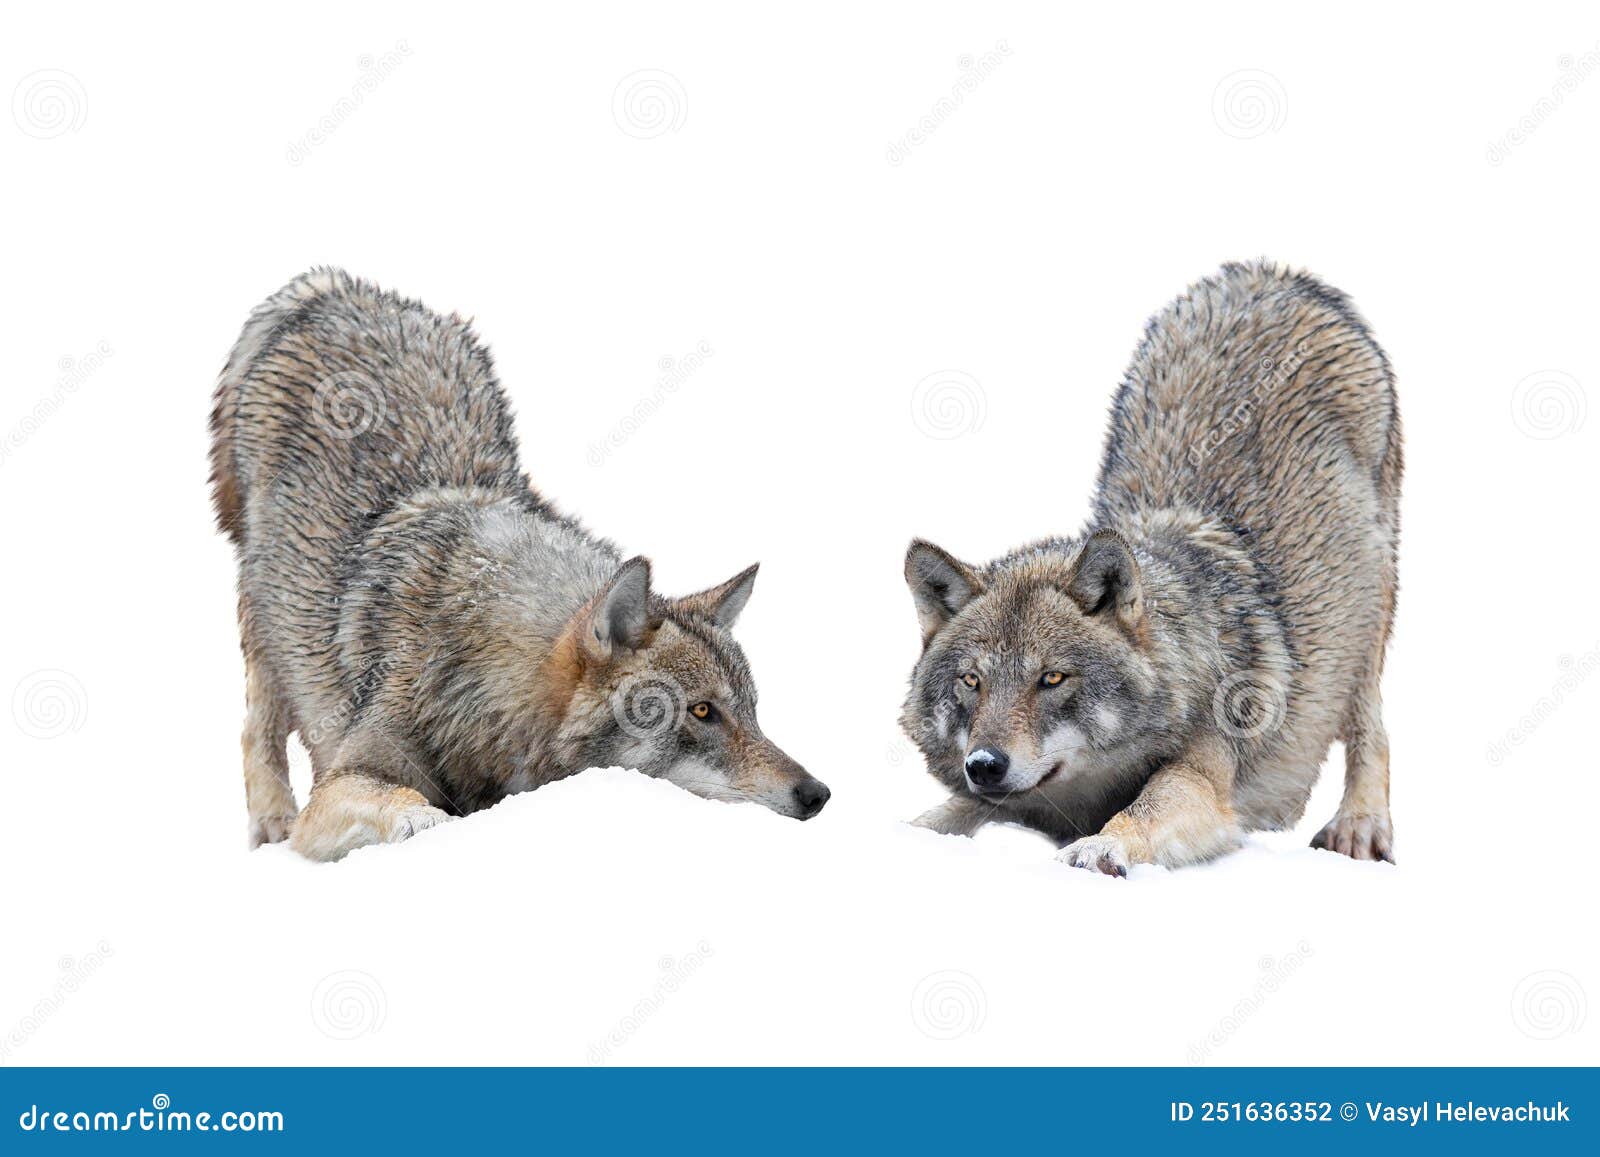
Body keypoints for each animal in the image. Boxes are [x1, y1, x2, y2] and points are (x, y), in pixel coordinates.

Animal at [210, 269, 829, 861]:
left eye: (751, 710)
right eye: (702, 711)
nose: (817, 793)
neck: (474, 671)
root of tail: (336, 288)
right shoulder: (342, 783)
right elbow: (396, 799)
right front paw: (424, 823)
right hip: (265, 621)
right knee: (256, 725)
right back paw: (271, 822)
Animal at [900, 261, 1400, 875]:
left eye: (1052, 678)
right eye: (972, 680)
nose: (985, 764)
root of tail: (1267, 273)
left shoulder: (1203, 778)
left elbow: (1143, 810)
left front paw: (1099, 846)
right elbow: (947, 812)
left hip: (1369, 610)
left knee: (1371, 723)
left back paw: (1361, 826)